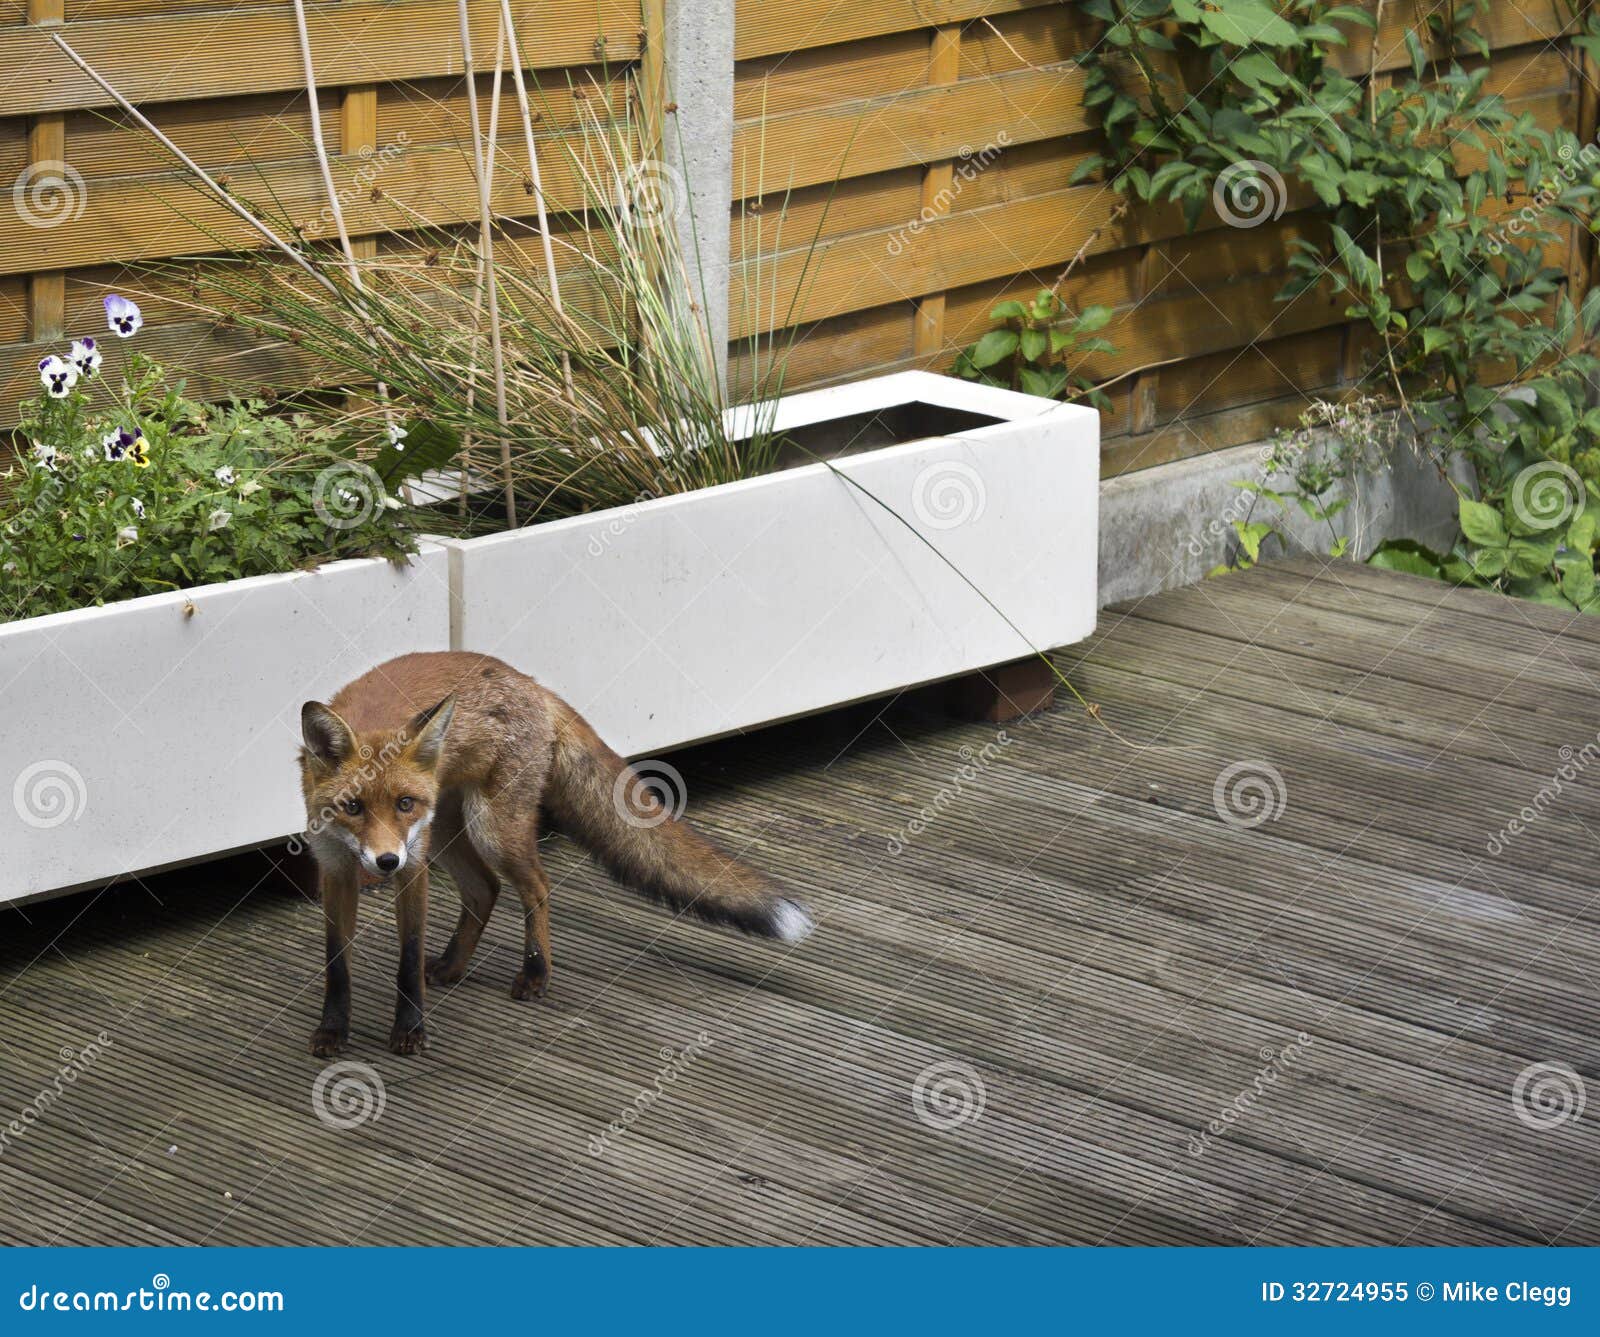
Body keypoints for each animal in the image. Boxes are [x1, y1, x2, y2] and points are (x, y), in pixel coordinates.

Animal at [297, 651, 814, 1057]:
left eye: (404, 804)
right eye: (353, 807)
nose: (386, 863)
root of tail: (532, 683)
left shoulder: (414, 867)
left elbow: (407, 959)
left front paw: (410, 1031)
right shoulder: (336, 869)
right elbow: (336, 963)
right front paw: (332, 1031)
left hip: (487, 831)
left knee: (536, 887)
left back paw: (535, 974)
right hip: (447, 833)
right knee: (486, 888)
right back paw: (453, 966)